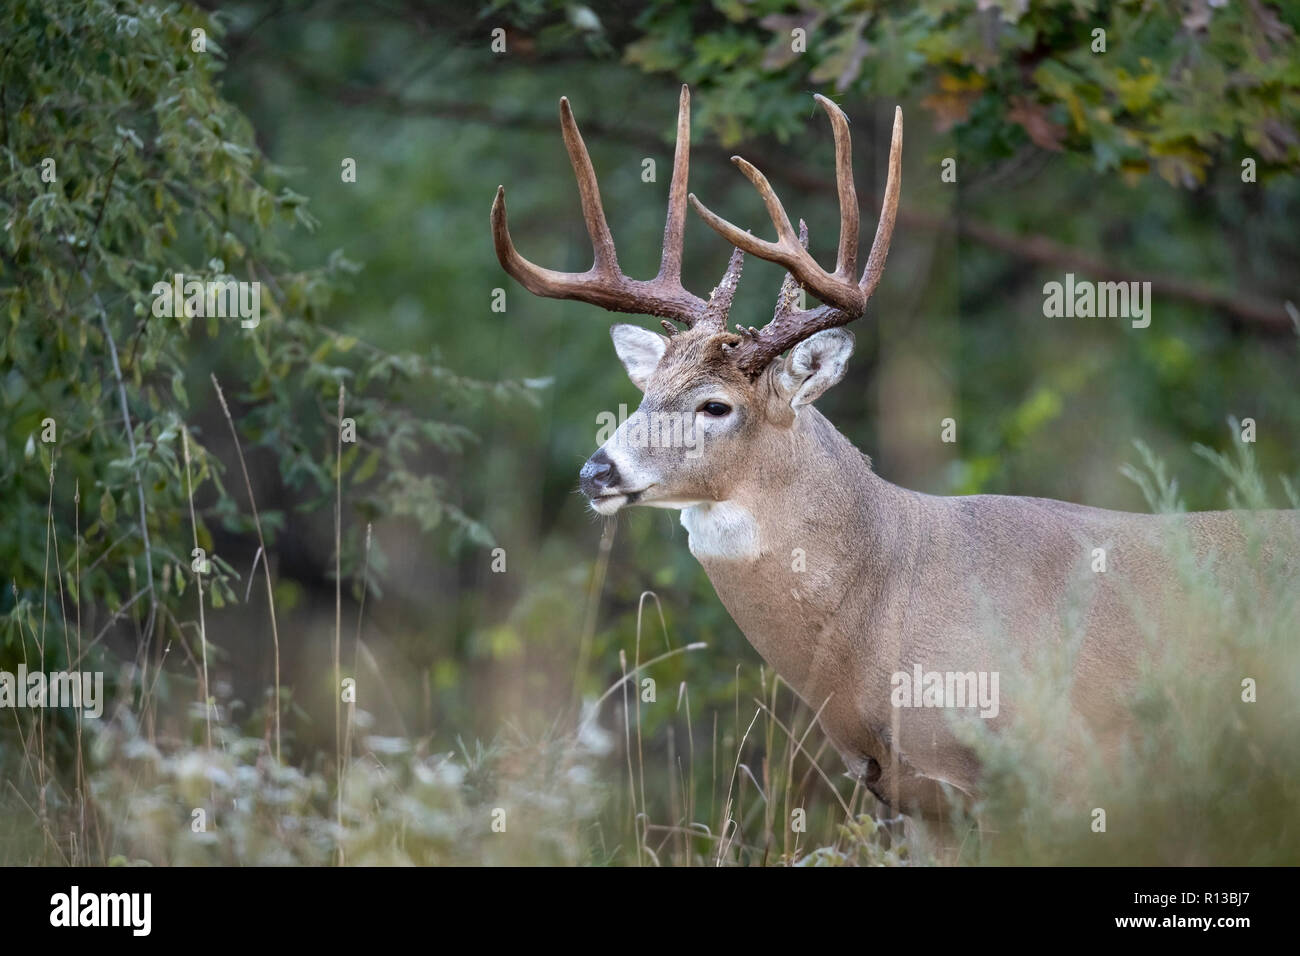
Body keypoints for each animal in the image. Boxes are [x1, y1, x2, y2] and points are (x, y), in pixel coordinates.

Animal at [490, 86, 1300, 824]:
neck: (883, 604)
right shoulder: (915, 801)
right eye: (646, 391)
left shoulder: (1057, 767)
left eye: (715, 406)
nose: (596, 472)